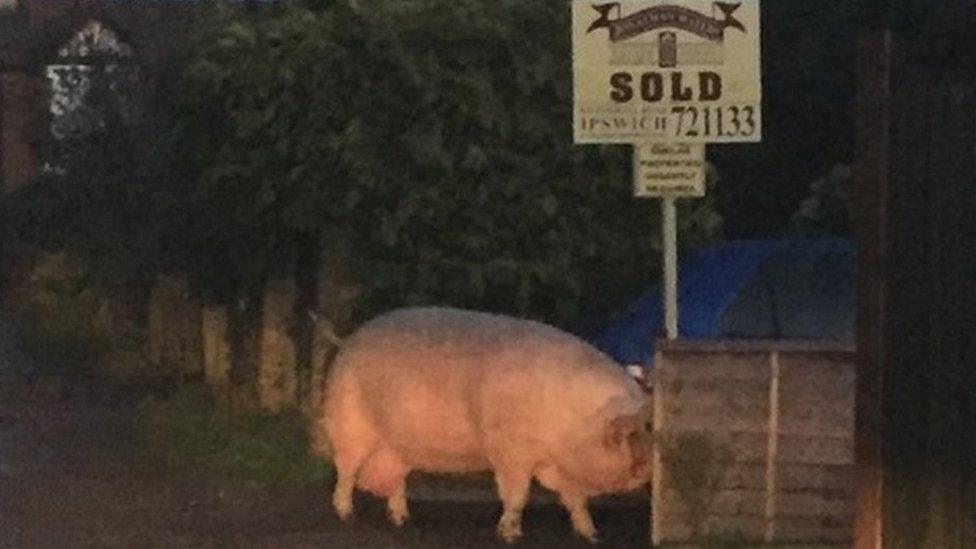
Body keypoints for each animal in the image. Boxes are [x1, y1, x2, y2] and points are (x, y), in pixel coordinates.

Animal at [313, 306, 654, 543]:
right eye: (633, 432)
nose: (651, 466)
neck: (572, 421)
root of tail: (348, 339)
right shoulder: (511, 450)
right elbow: (517, 494)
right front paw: (510, 535)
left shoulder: (562, 464)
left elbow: (575, 500)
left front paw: (591, 535)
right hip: (350, 424)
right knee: (346, 471)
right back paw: (346, 515)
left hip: (395, 448)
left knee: (395, 481)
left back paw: (401, 519)